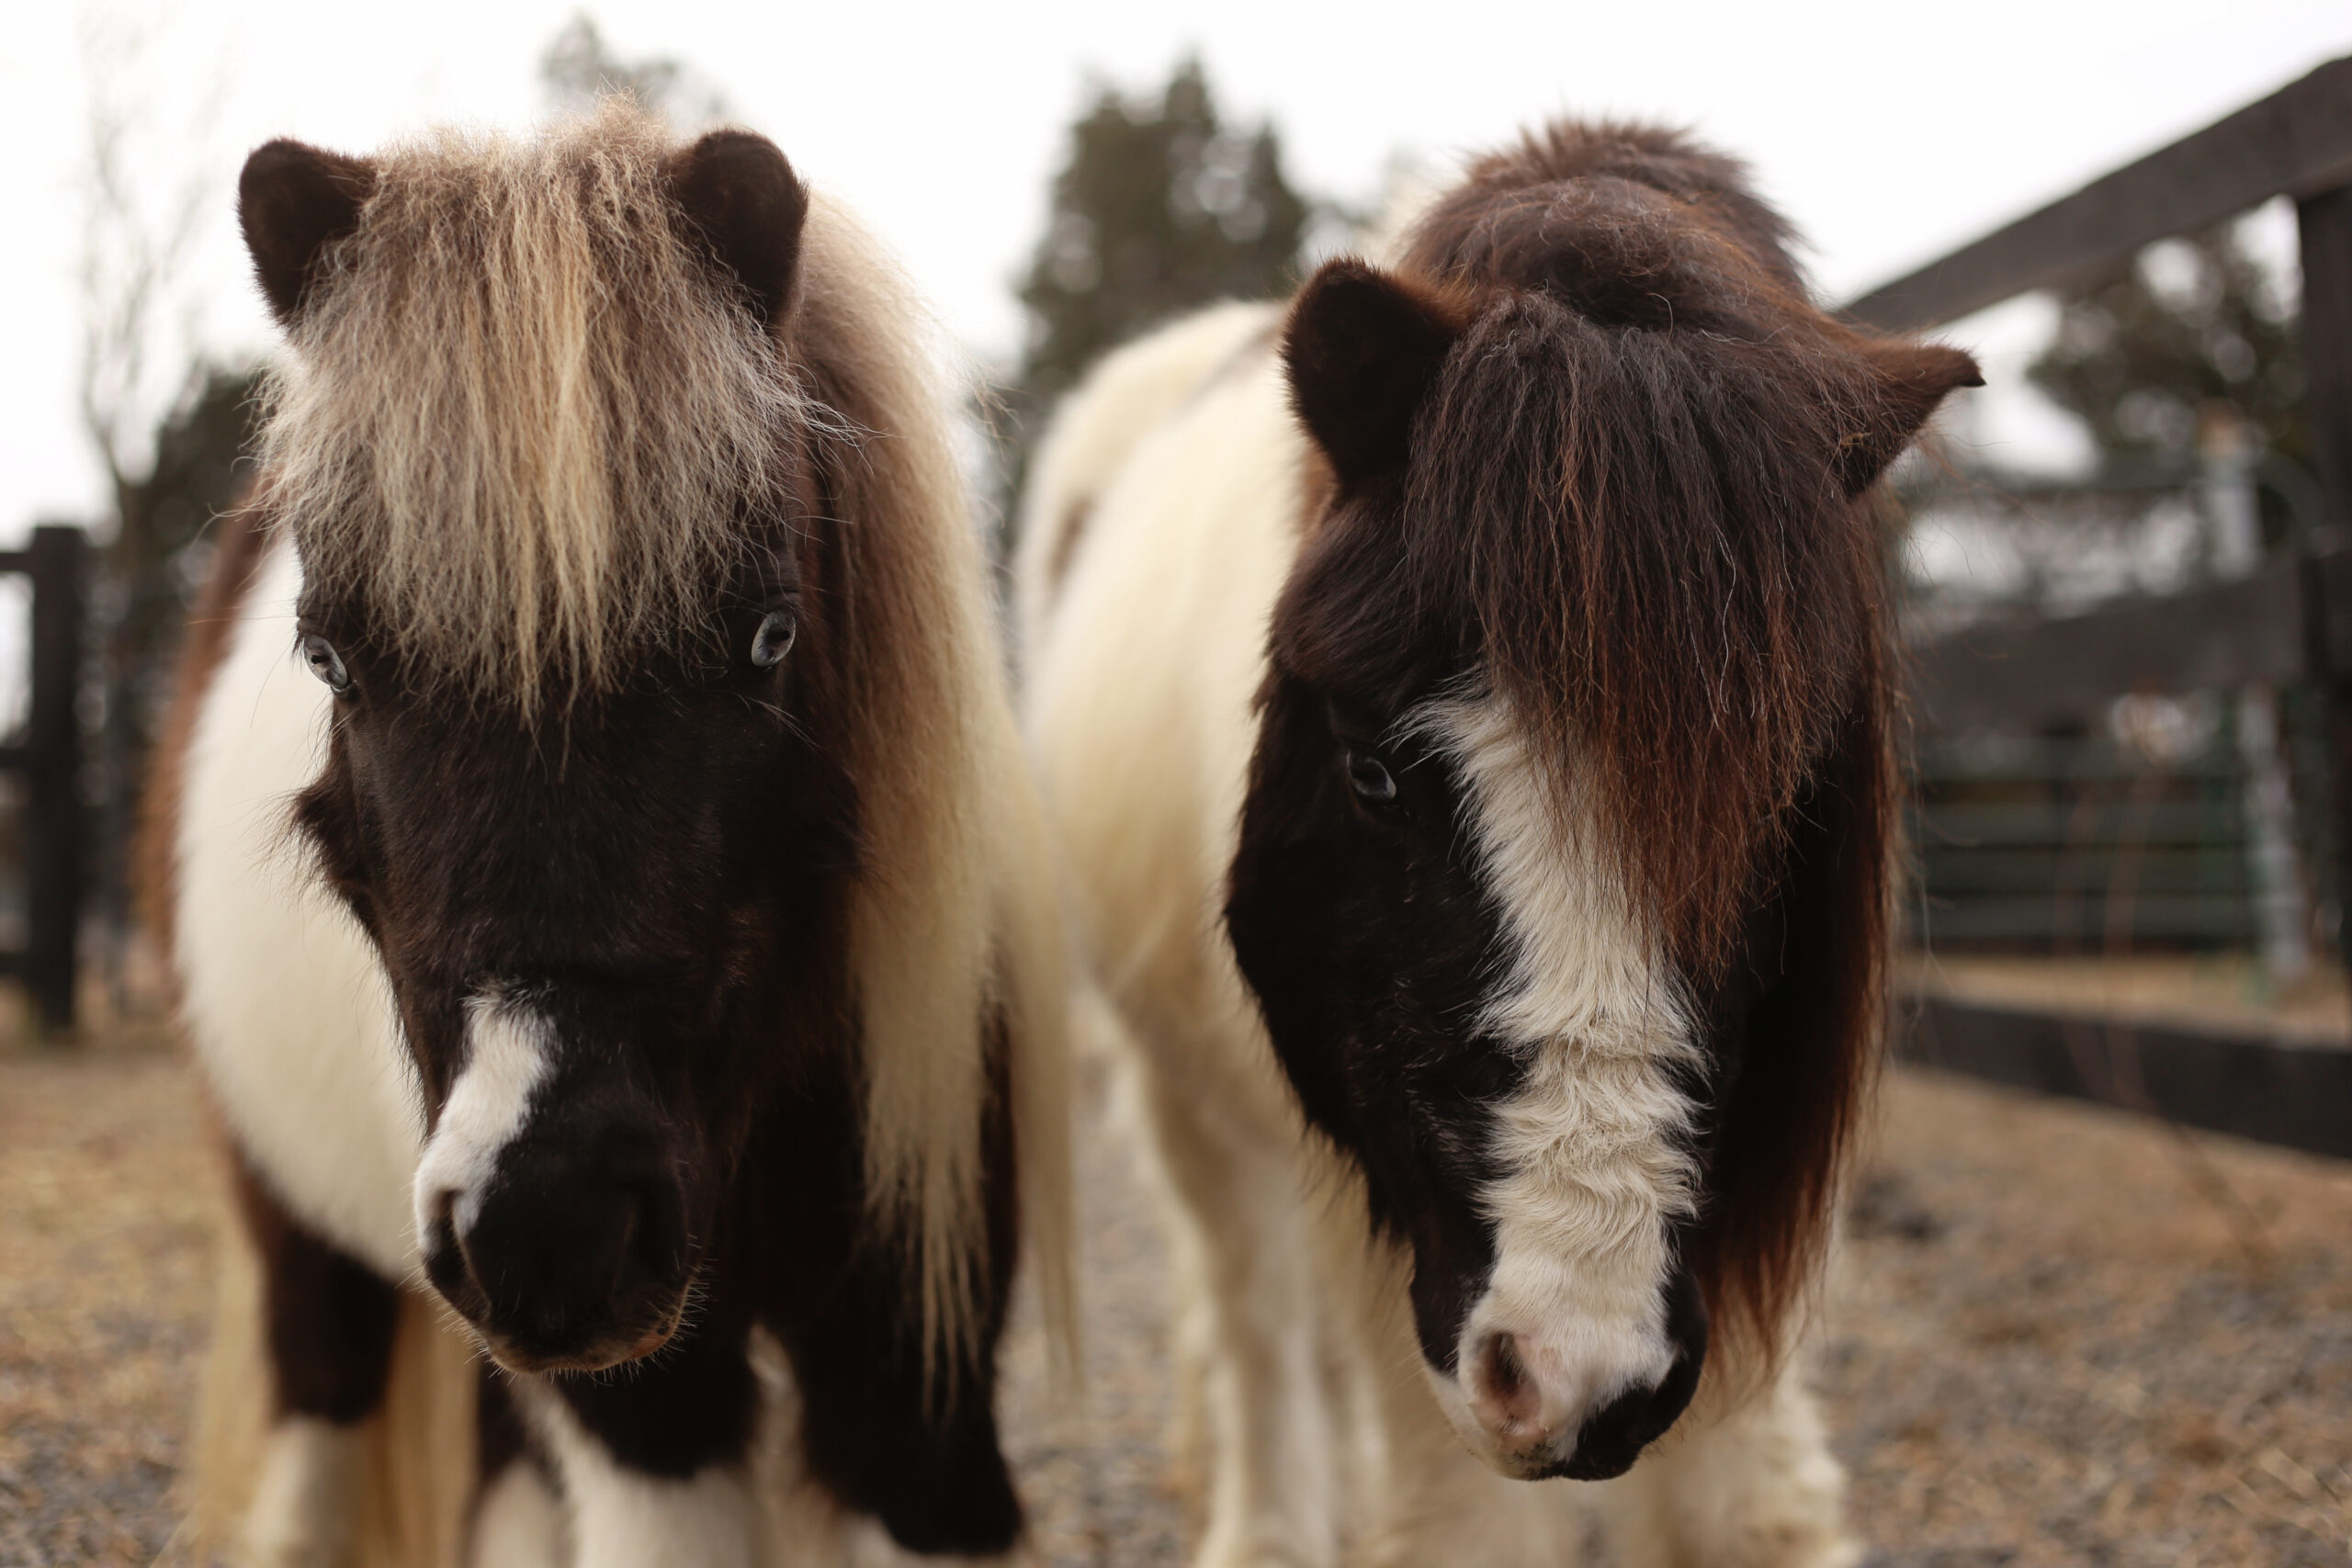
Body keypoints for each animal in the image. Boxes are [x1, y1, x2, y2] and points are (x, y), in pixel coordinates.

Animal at [143, 103, 1069, 1568]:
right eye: (329, 655)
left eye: (768, 635)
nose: (547, 1223)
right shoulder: (649, 1415)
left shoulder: (920, 1377)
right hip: (301, 1233)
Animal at [1015, 121, 1979, 1568]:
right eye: (1373, 773)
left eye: (1780, 806)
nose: (1581, 1374)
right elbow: (1452, 1510)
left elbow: (1749, 1504)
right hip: (1187, 1089)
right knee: (1249, 1317)